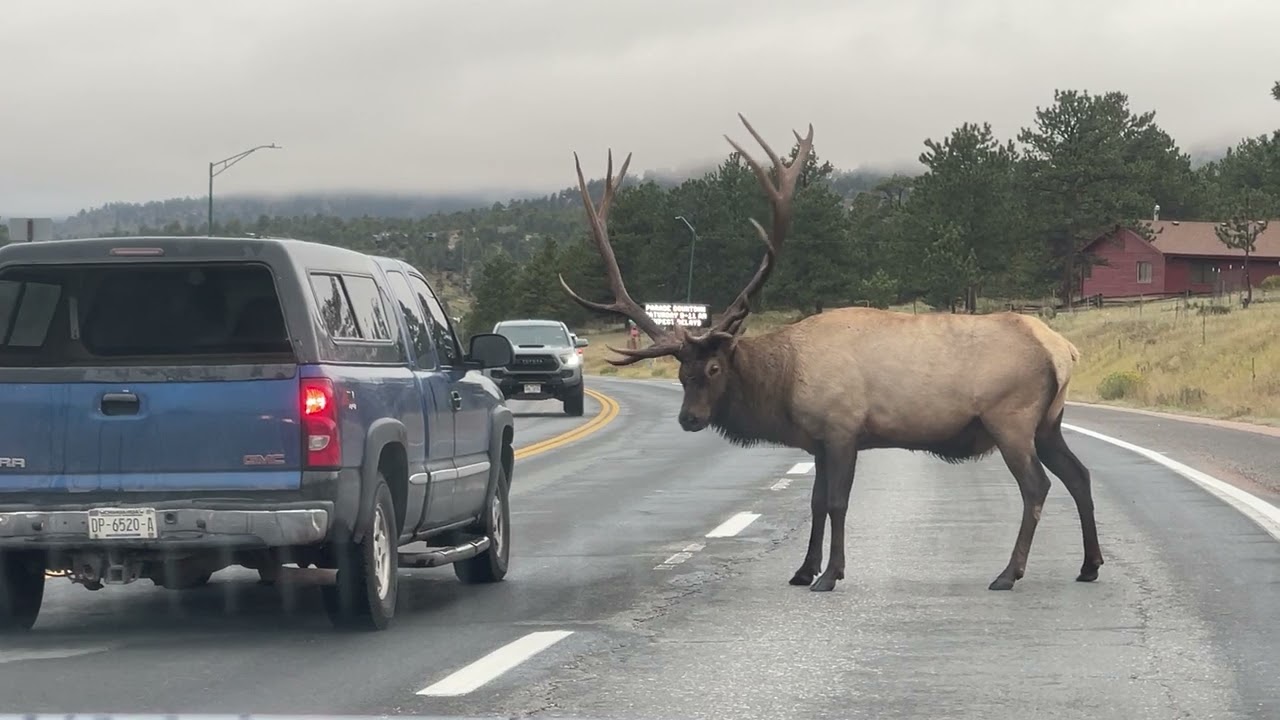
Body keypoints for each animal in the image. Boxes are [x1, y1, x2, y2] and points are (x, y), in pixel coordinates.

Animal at [559, 115, 1101, 593]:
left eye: (713, 367)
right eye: (679, 372)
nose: (689, 418)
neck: (785, 386)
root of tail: (1063, 350)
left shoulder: (843, 428)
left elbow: (838, 502)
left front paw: (829, 575)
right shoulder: (818, 441)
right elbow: (816, 503)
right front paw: (802, 570)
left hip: (1011, 417)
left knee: (1037, 486)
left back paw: (1009, 573)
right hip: (1048, 422)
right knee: (1079, 475)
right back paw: (1089, 566)